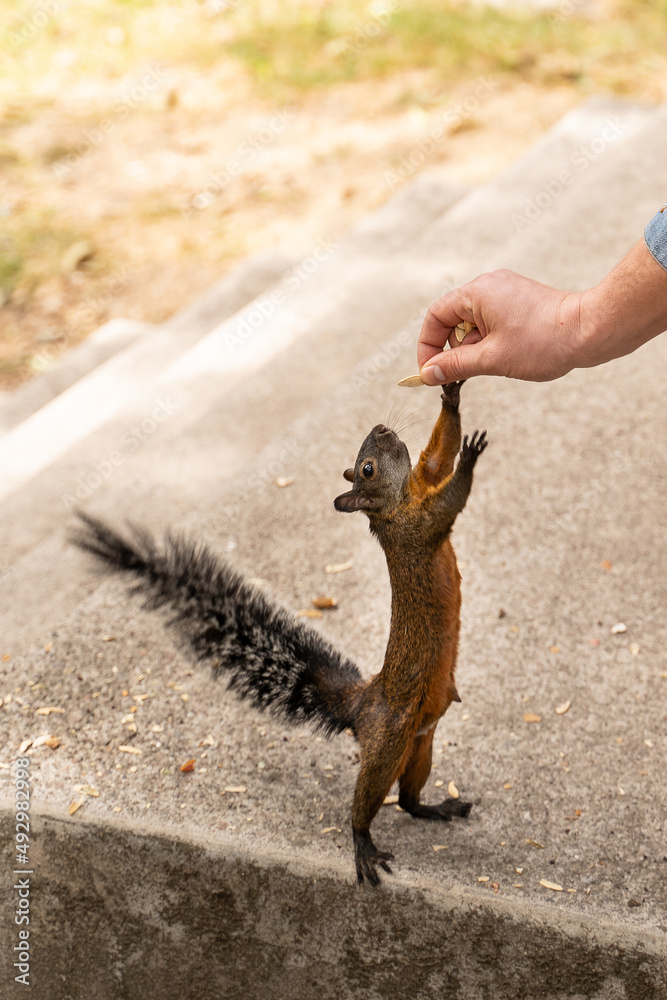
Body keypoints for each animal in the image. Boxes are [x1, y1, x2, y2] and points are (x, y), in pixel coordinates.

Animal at [71, 379, 487, 886]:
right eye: (367, 469)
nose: (382, 427)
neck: (399, 500)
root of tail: (361, 706)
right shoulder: (418, 527)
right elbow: (449, 497)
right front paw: (470, 457)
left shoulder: (423, 477)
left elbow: (436, 454)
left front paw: (451, 394)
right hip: (387, 744)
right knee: (368, 799)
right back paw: (362, 843)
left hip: (420, 745)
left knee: (408, 800)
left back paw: (436, 808)